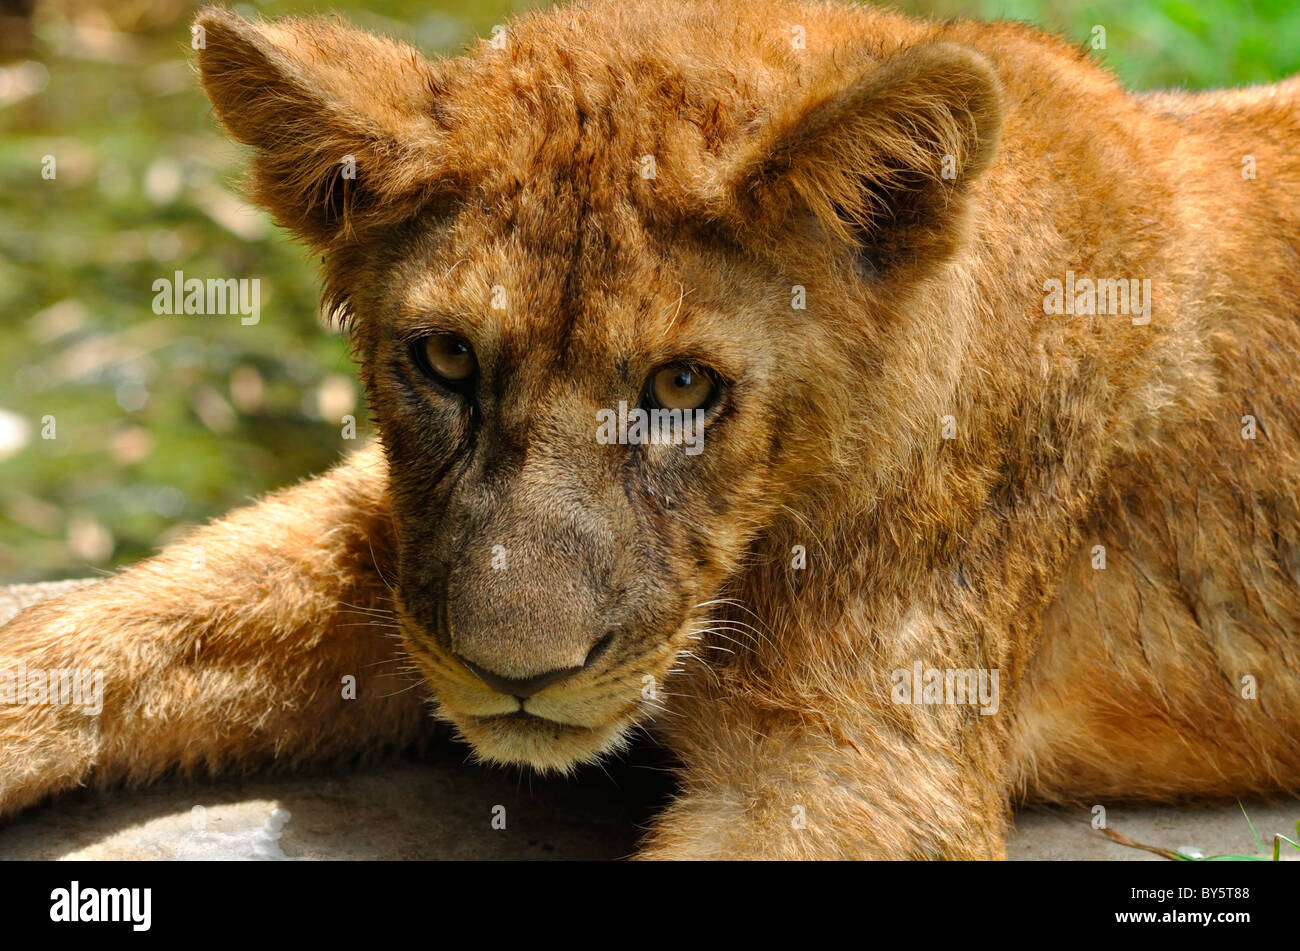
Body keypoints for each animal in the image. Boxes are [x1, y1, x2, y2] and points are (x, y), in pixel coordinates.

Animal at [2, 0, 1298, 860]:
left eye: (681, 387)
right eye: (446, 358)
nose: (516, 676)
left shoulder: (861, 776)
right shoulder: (396, 553)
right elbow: (113, 627)